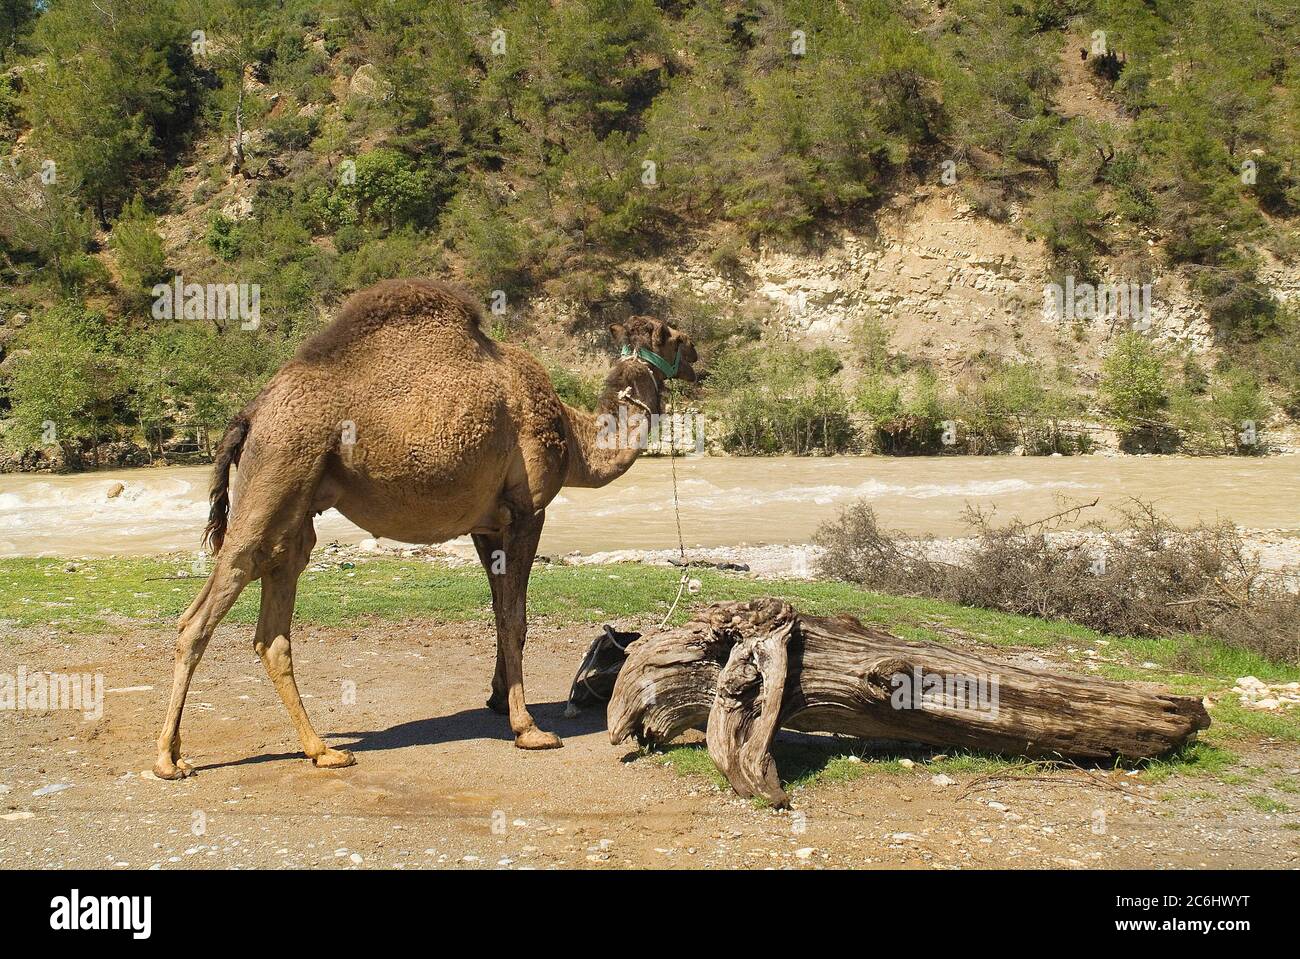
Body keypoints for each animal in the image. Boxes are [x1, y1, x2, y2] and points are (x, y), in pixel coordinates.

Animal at [153, 278, 698, 779]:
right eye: (680, 338)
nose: (700, 360)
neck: (574, 434)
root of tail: (250, 413)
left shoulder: (486, 525)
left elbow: (499, 613)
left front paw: (498, 699)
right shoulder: (528, 509)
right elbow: (516, 618)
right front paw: (529, 729)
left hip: (292, 511)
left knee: (273, 628)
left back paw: (322, 750)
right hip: (279, 467)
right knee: (202, 613)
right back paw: (168, 759)